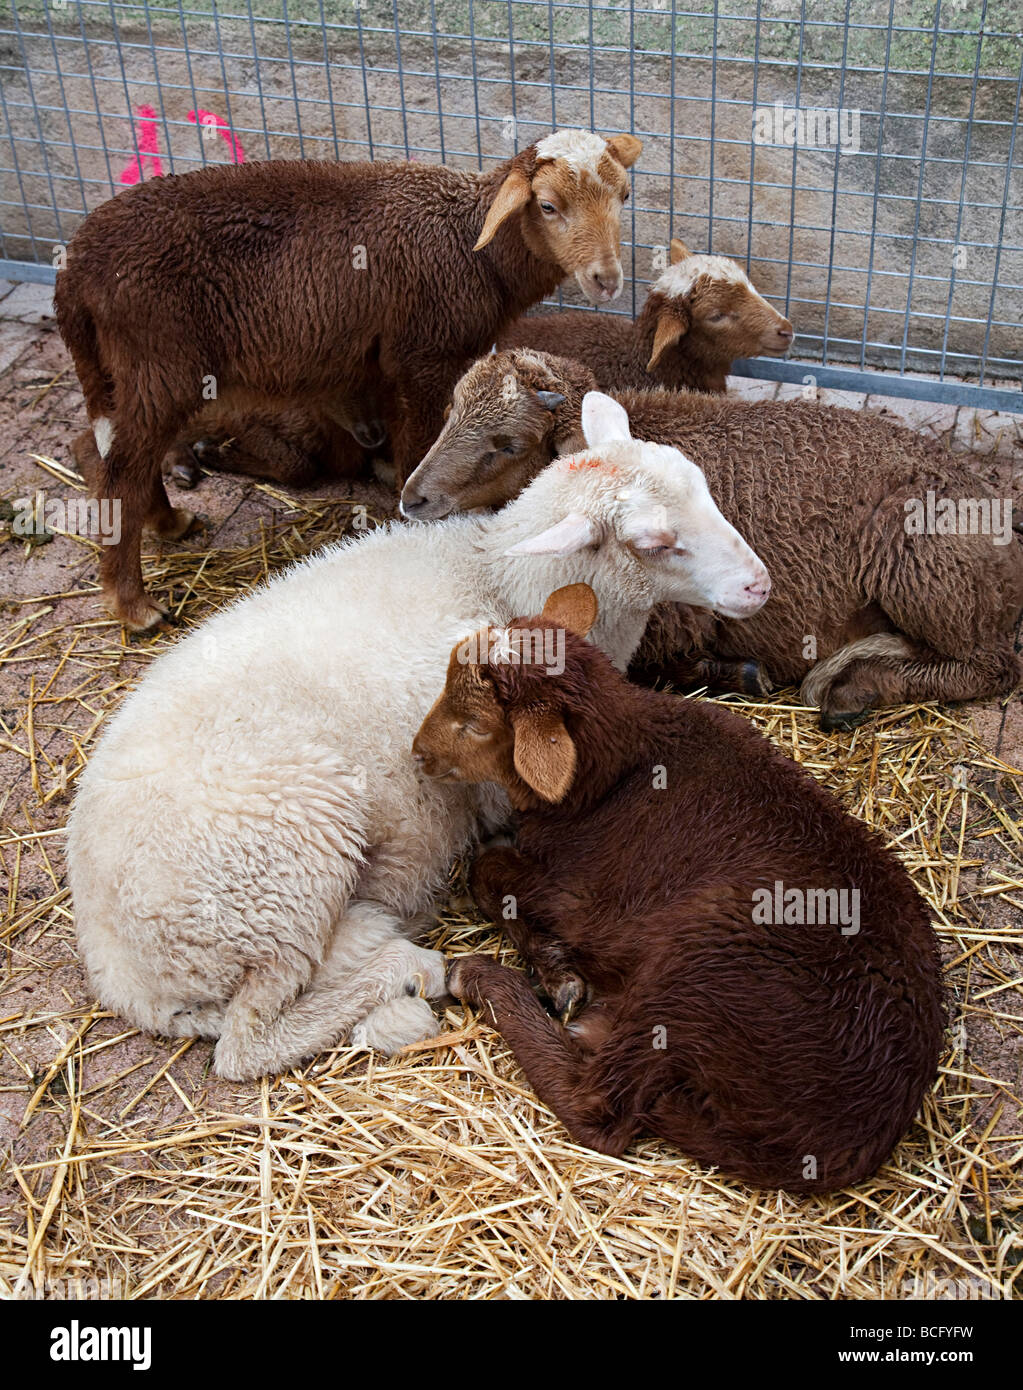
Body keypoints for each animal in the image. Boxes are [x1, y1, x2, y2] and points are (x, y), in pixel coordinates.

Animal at [54, 129, 641, 630]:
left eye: (624, 195)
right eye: (547, 205)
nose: (607, 281)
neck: (471, 246)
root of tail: (73, 270)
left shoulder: (386, 361)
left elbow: (397, 439)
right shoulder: (426, 353)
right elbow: (419, 441)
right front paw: (412, 510)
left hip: (122, 373)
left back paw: (166, 521)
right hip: (160, 364)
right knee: (123, 471)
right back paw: (134, 604)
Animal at [68, 392, 769, 1082]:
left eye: (702, 486)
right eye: (655, 542)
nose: (757, 585)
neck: (495, 574)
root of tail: (123, 972)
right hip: (282, 871)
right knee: (246, 1043)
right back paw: (408, 971)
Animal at [400, 349, 1023, 729]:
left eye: (508, 444)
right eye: (451, 409)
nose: (412, 499)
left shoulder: (674, 622)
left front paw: (740, 674)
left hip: (925, 570)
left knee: (991, 666)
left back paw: (853, 690)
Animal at [411, 581, 945, 1192]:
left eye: (476, 723)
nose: (417, 753)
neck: (611, 776)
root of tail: (843, 1141)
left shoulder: (585, 899)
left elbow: (489, 872)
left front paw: (555, 967)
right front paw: (555, 966)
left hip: (703, 960)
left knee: (599, 1111)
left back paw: (482, 979)